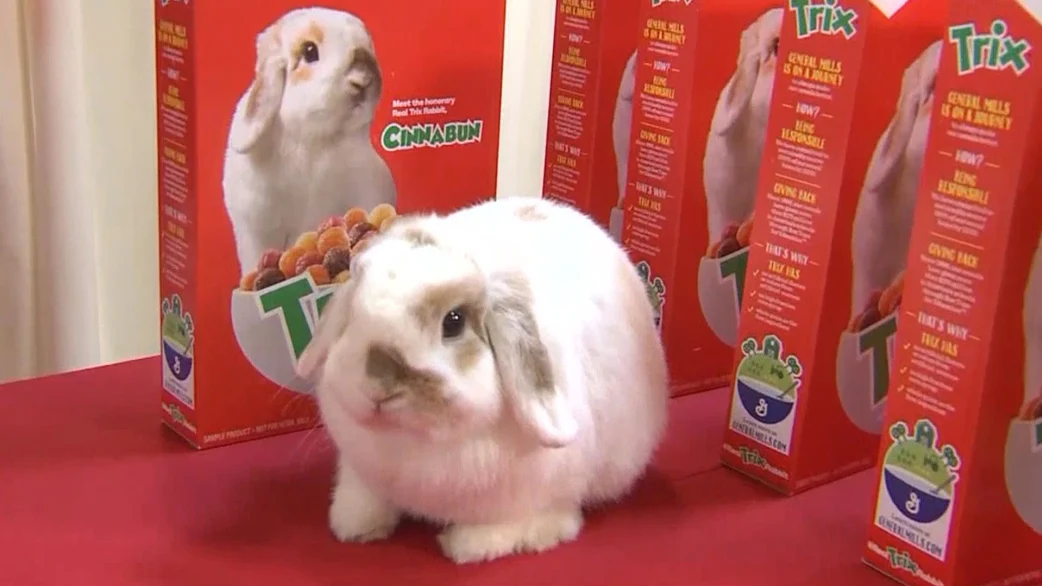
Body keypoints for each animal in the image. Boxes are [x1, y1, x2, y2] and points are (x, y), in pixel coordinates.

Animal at [295, 197, 670, 564]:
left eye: (454, 321)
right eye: (354, 310)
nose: (378, 387)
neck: (413, 441)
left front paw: (471, 546)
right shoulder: (362, 469)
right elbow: (365, 497)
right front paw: (354, 526)